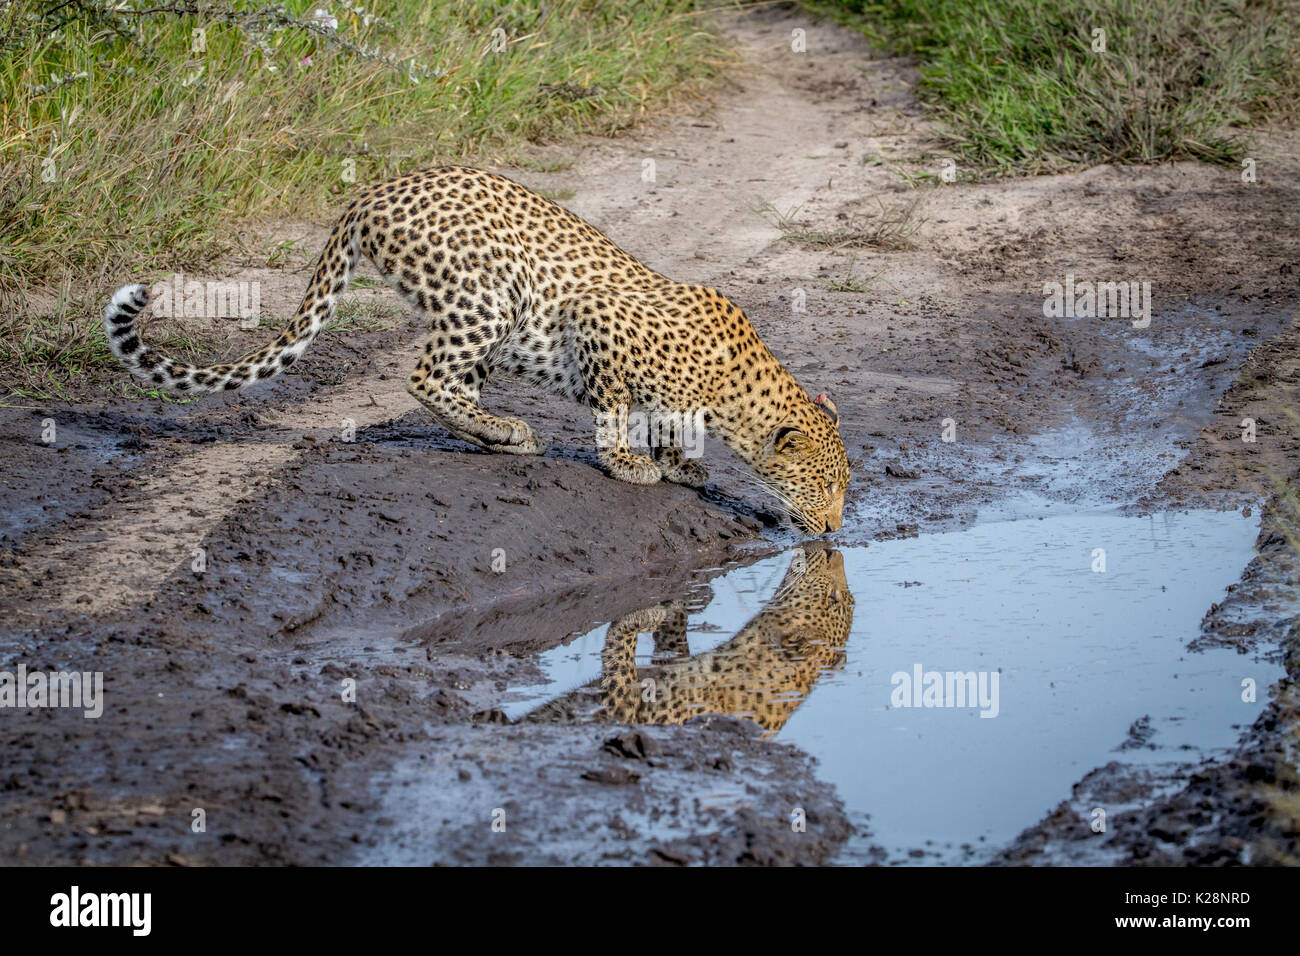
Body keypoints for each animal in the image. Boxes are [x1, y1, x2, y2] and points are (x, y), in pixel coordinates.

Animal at [103, 165, 849, 533]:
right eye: (827, 487)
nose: (835, 530)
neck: (733, 393)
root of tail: (373, 190)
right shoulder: (598, 320)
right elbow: (614, 413)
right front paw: (628, 465)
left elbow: (667, 424)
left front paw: (680, 466)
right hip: (492, 299)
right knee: (423, 376)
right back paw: (507, 431)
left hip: (490, 322)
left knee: (455, 380)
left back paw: (492, 433)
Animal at [517, 546, 854, 737]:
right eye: (837, 598)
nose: (834, 552)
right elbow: (671, 639)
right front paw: (680, 602)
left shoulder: (623, 711)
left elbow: (621, 652)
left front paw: (648, 614)